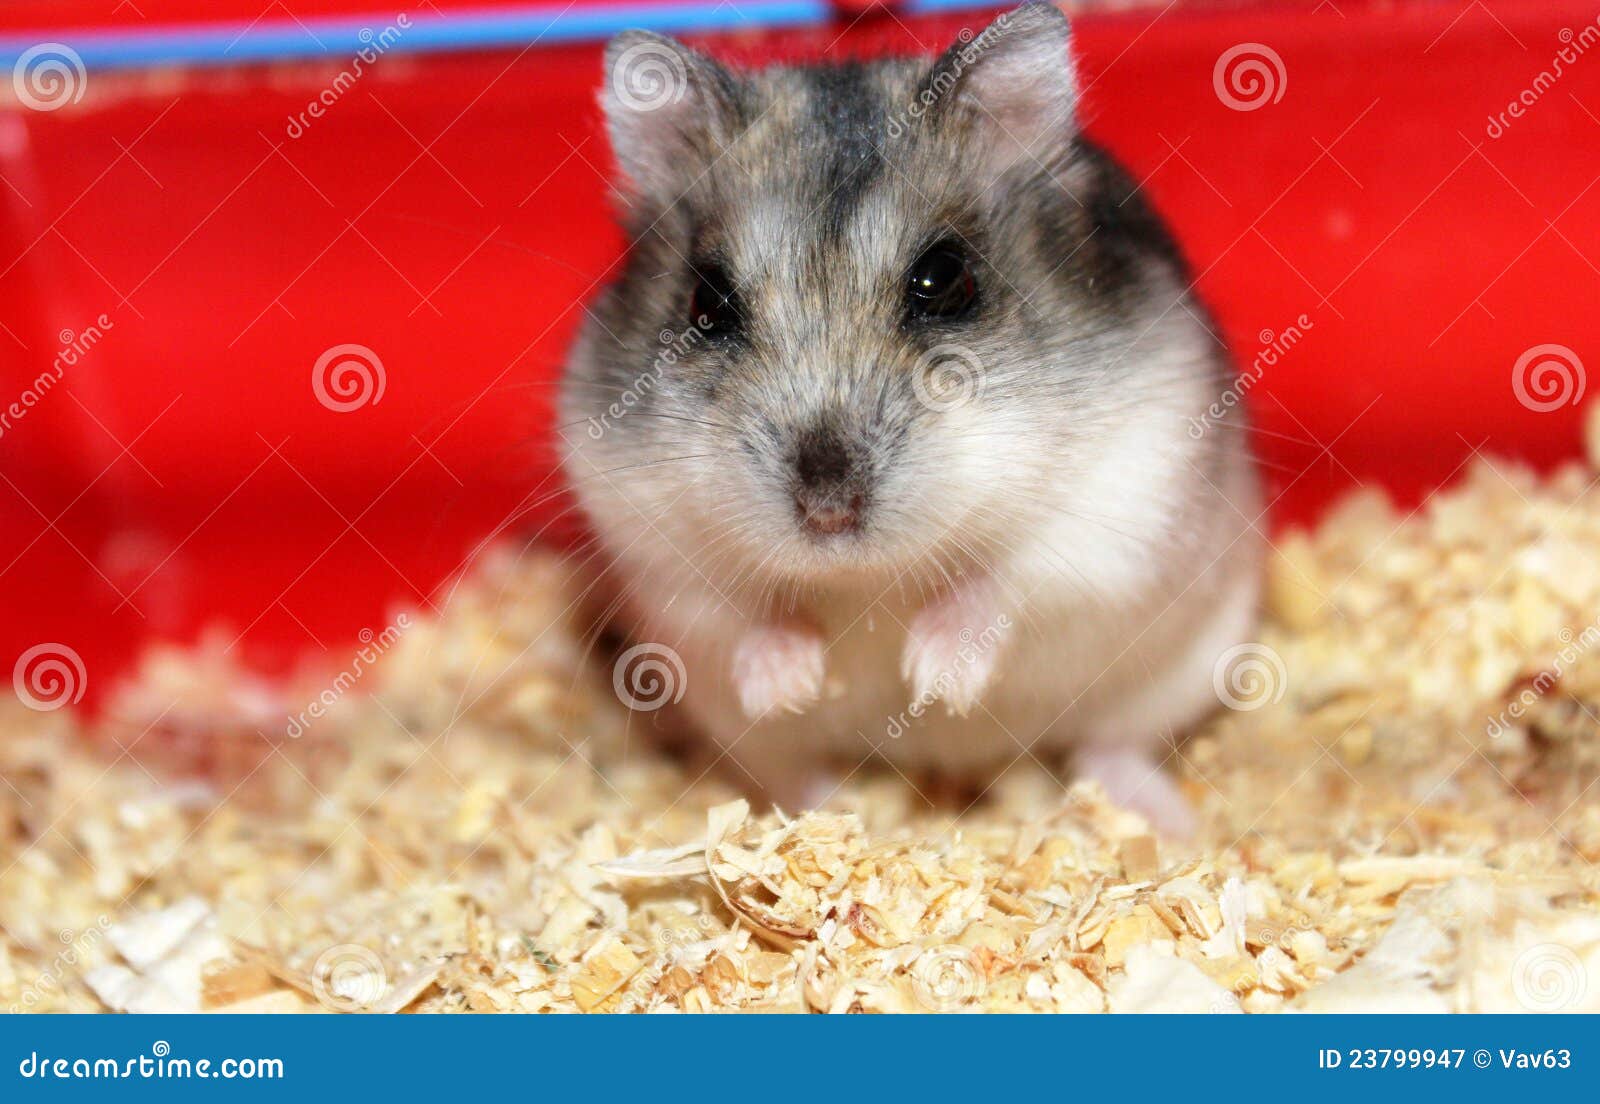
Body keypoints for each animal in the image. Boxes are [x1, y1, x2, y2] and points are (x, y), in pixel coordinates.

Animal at [559, 2, 1260, 835]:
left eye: (945, 279)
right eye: (707, 302)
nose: (829, 508)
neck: (866, 578)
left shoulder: (1117, 505)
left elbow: (1006, 578)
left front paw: (935, 679)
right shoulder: (651, 546)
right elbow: (740, 605)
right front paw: (788, 683)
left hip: (1180, 668)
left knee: (1109, 749)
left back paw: (1178, 830)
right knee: (798, 774)